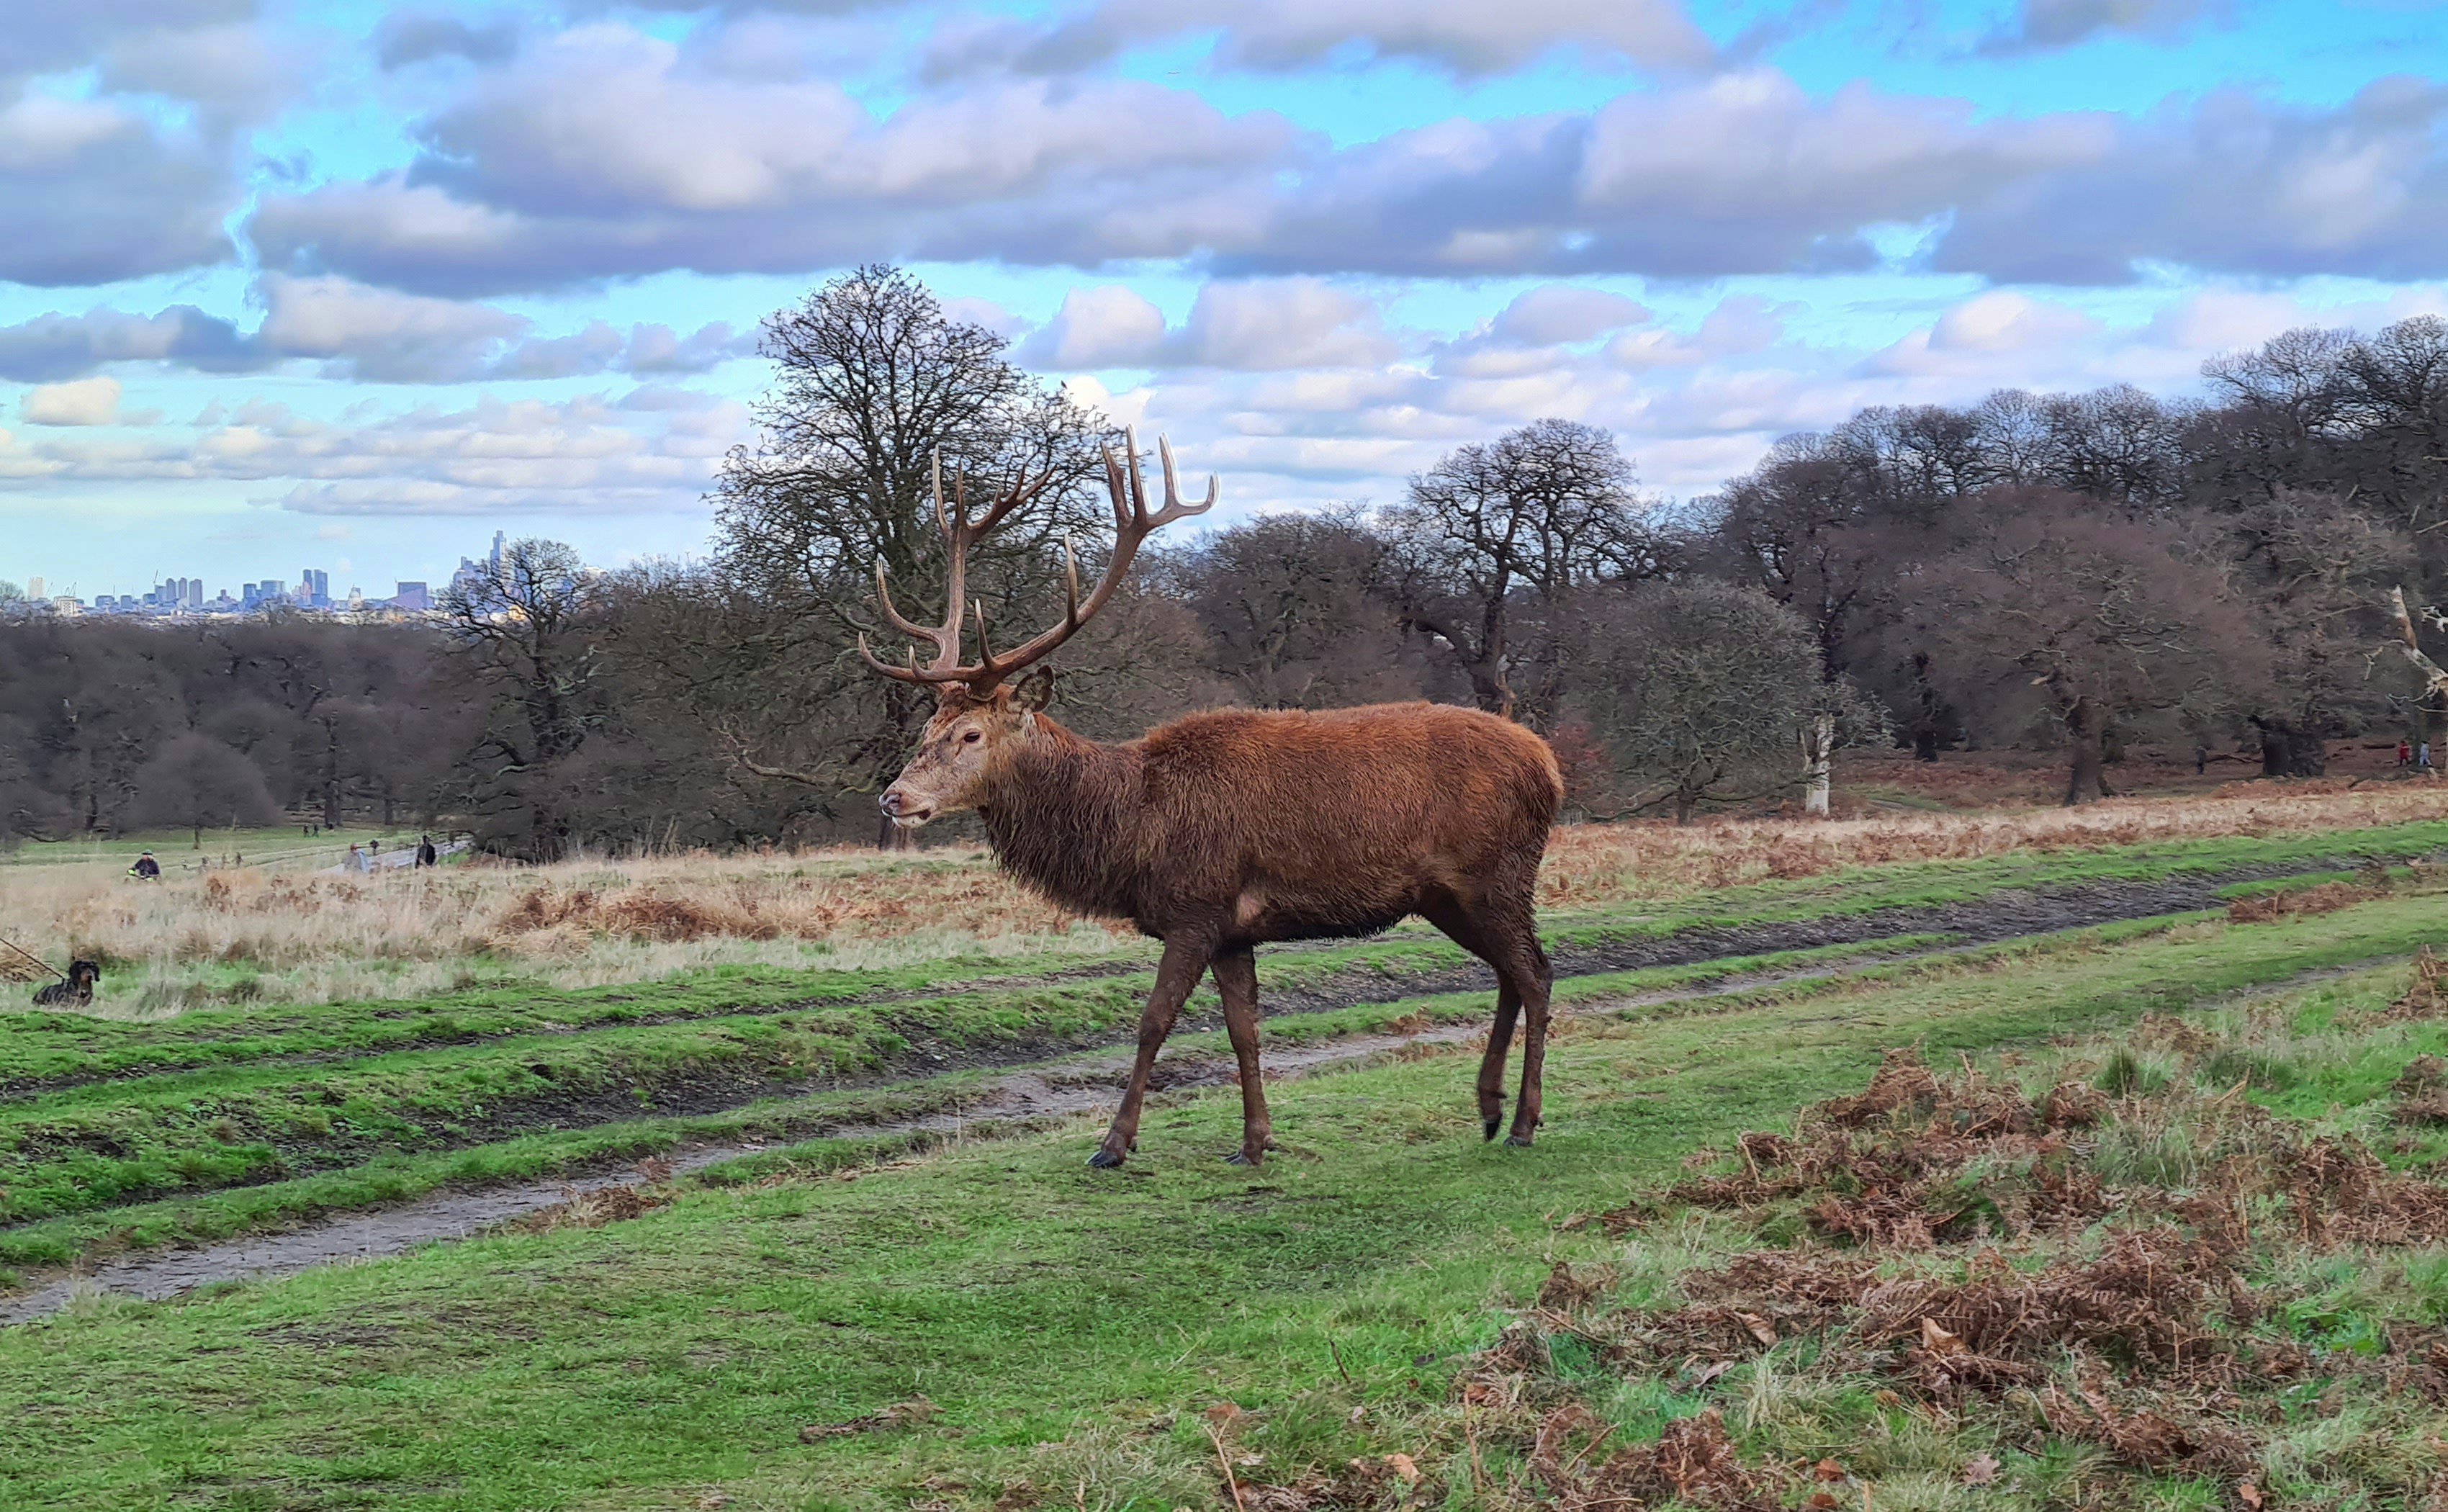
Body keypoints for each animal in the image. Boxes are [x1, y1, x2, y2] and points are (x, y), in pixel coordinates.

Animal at [862, 430, 1564, 1168]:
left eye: (970, 733)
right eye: (926, 728)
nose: (894, 798)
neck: (1134, 824)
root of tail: (1549, 766)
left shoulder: (1196, 907)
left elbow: (1153, 1022)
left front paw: (1113, 1144)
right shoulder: (1233, 929)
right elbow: (1243, 1029)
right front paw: (1256, 1142)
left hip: (1497, 873)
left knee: (1537, 974)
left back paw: (1523, 1121)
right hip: (1448, 895)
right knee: (1510, 974)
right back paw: (1488, 1108)